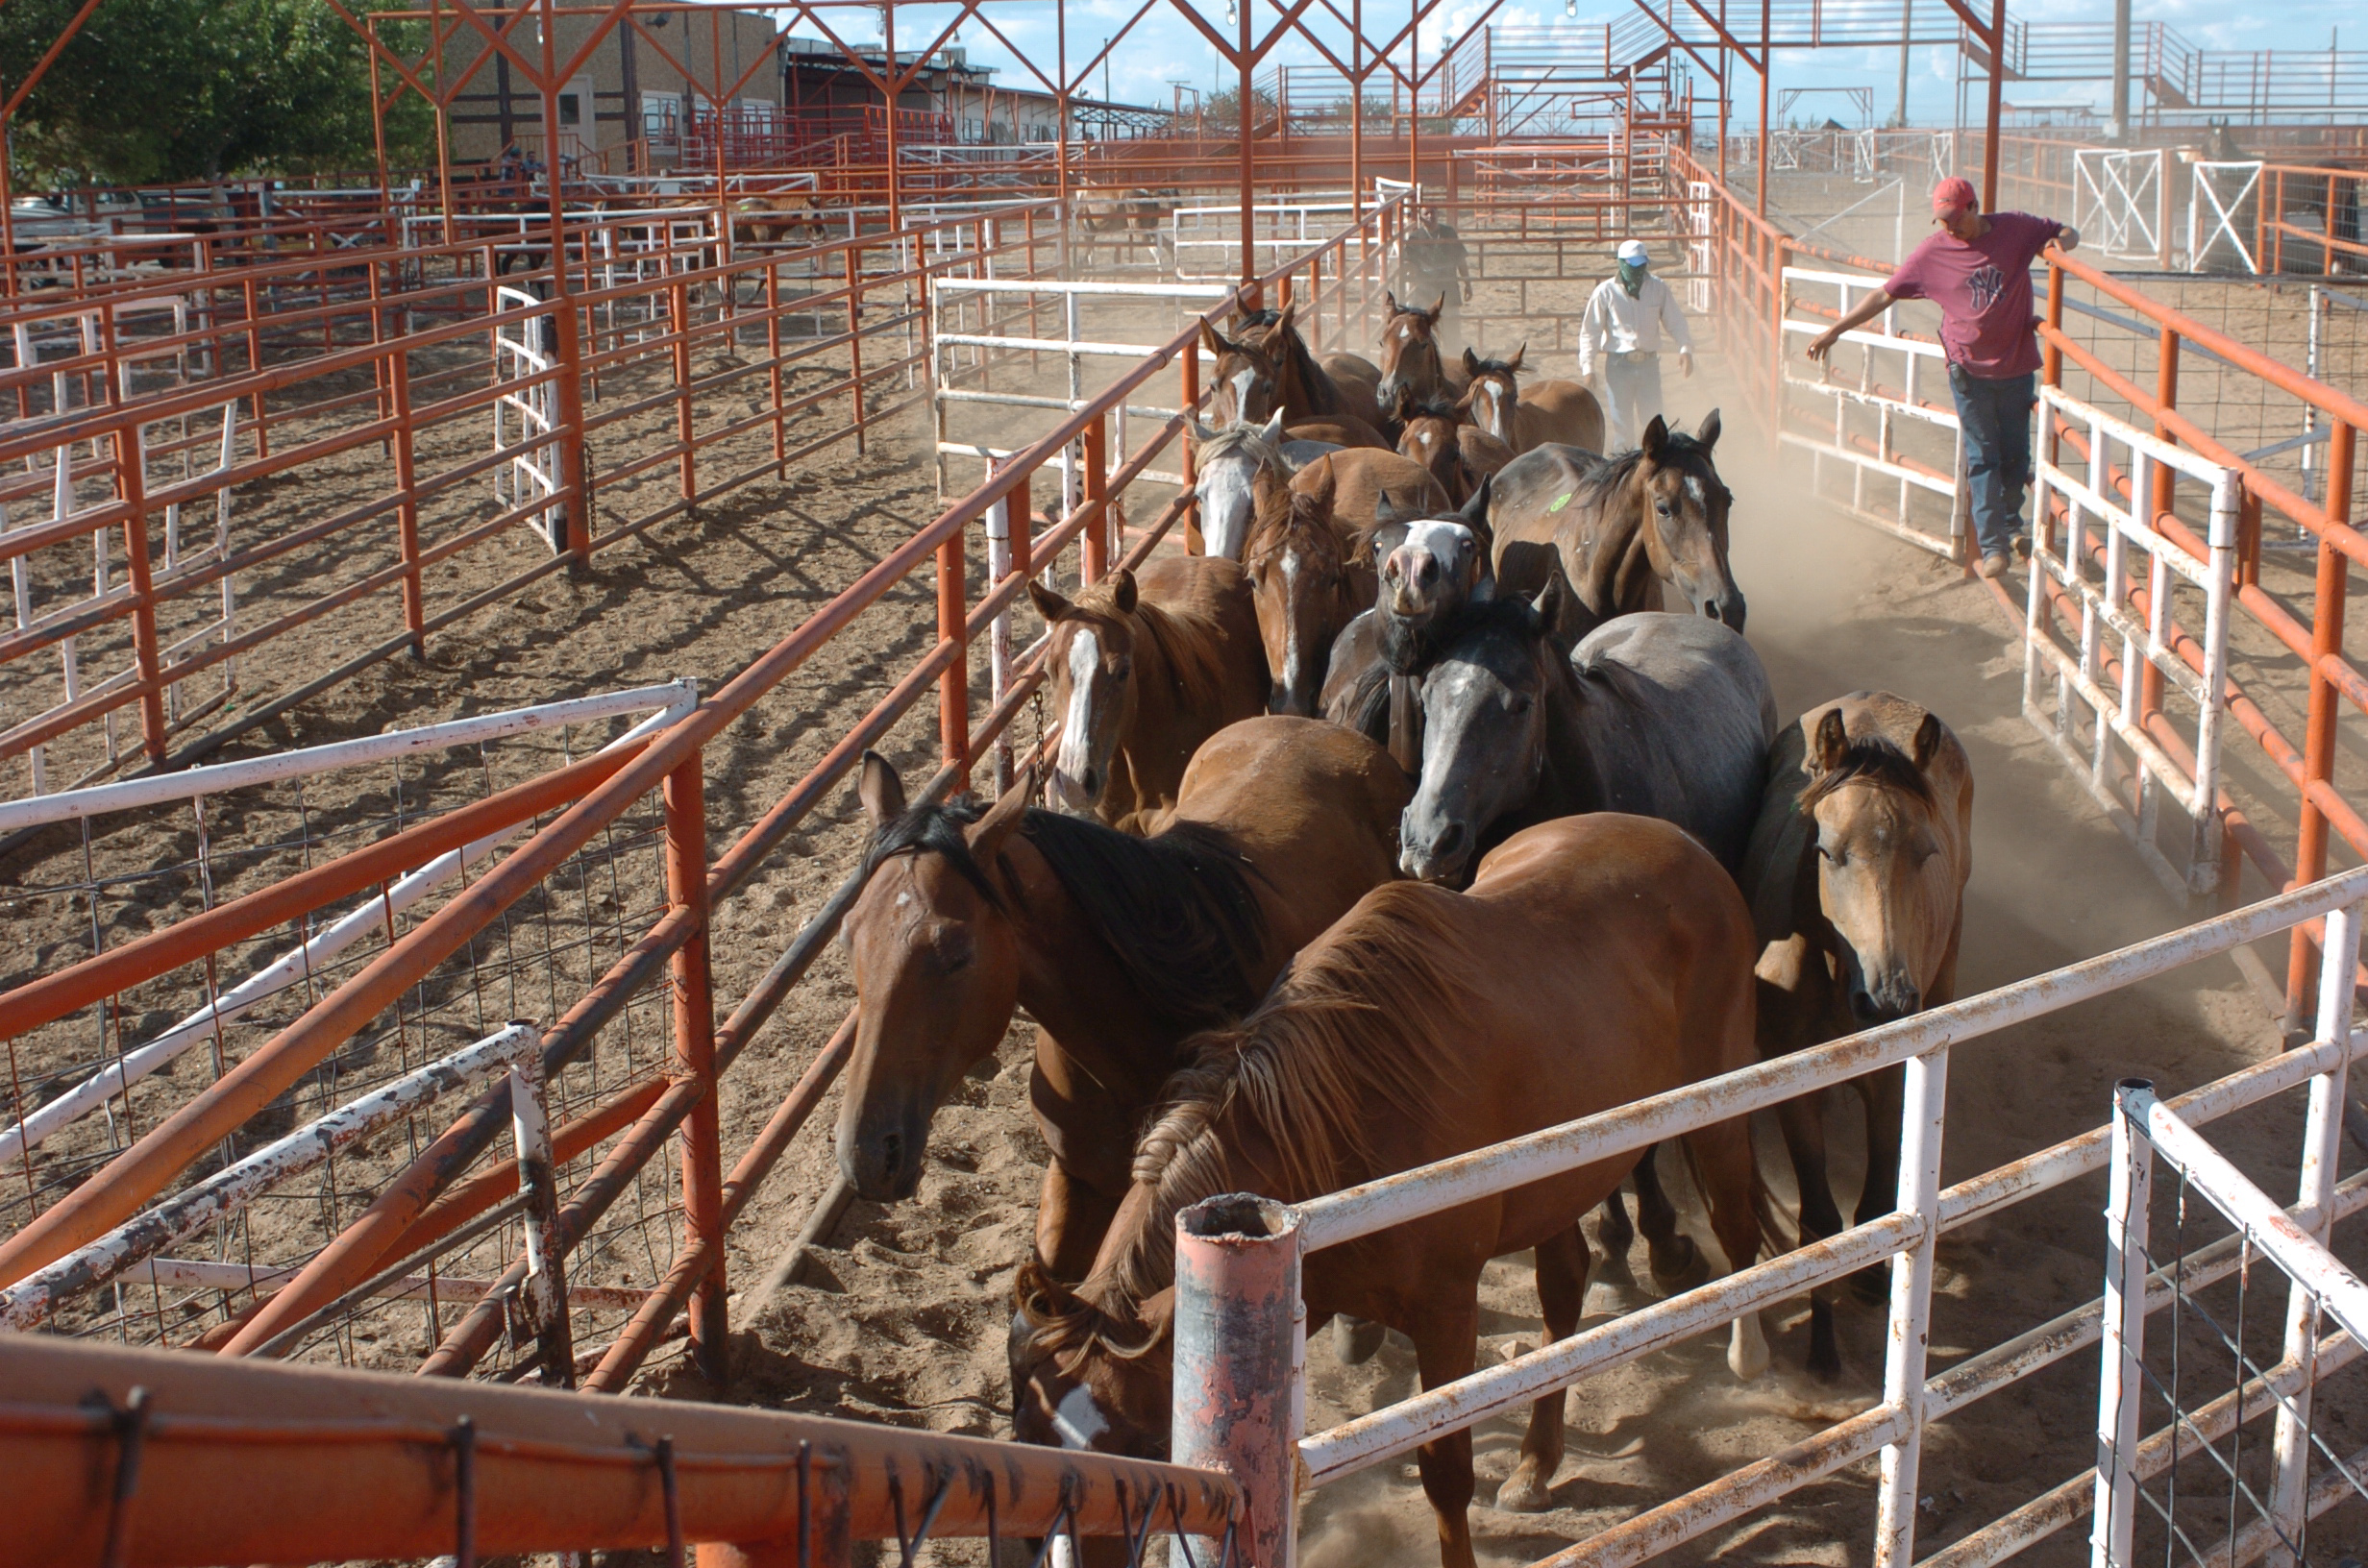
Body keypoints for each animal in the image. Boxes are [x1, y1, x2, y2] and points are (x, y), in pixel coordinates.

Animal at [1009, 812, 1773, 1567]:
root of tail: (1683, 844)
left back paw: (1750, 1352)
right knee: (1563, 1291)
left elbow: (1446, 1471)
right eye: (1028, 1436)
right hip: (1559, 1174)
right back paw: (1535, 1464)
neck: (1339, 1129)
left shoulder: (1447, 1313)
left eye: (1146, 1446)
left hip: (1720, 1106)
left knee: (1737, 1231)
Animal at [1738, 693, 1972, 1377]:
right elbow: (1818, 1220)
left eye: (1925, 852)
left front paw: (1871, 1282)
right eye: (1827, 851)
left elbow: (1874, 1205)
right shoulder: (1792, 1089)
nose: (1888, 998)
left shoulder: (1894, 1071)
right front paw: (1822, 1347)